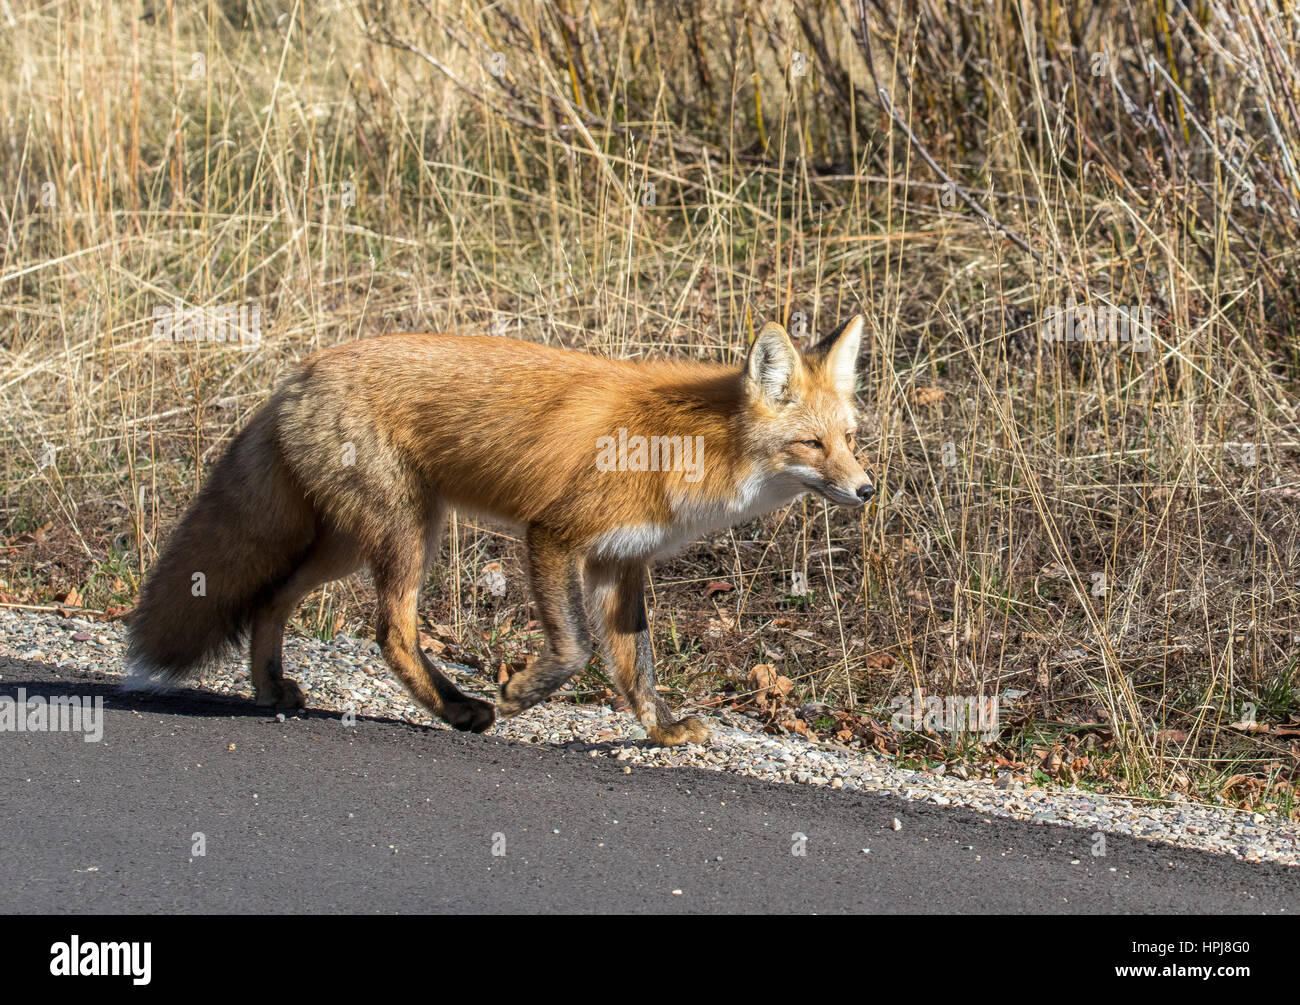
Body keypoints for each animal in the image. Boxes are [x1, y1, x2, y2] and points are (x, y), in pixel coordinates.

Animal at [126, 315, 873, 746]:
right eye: (811, 444)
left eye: (850, 438)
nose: (867, 489)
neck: (690, 445)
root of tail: (296, 375)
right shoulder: (554, 536)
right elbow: (576, 649)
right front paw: (520, 693)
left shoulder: (620, 563)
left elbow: (637, 666)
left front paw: (661, 731)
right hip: (407, 533)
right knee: (390, 630)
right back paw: (458, 709)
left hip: (345, 544)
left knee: (272, 599)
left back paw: (270, 690)